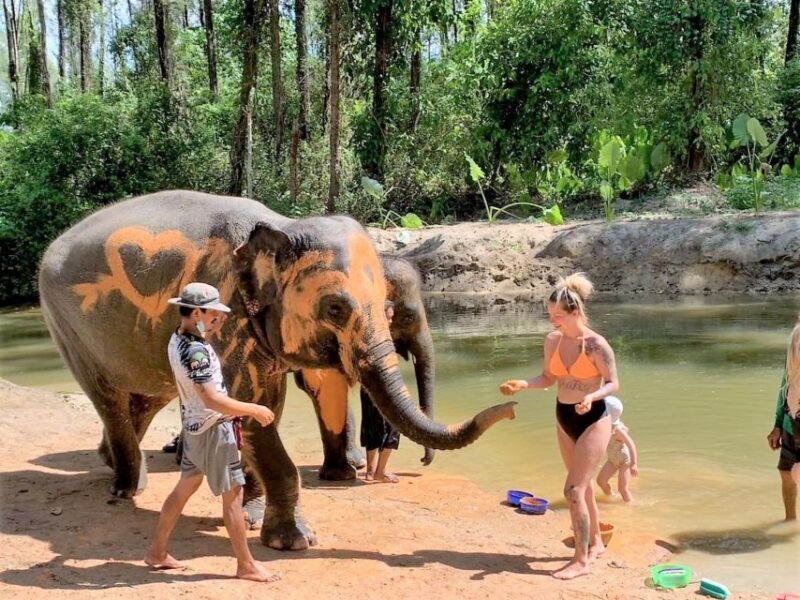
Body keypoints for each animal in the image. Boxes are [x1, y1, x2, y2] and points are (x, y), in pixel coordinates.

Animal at [38, 190, 516, 551]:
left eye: (386, 307)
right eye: (336, 308)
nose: (509, 406)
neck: (282, 226)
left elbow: (276, 402)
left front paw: (250, 515)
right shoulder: (226, 313)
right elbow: (250, 409)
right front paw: (296, 541)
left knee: (145, 397)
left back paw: (114, 464)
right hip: (65, 323)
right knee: (109, 398)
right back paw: (126, 489)